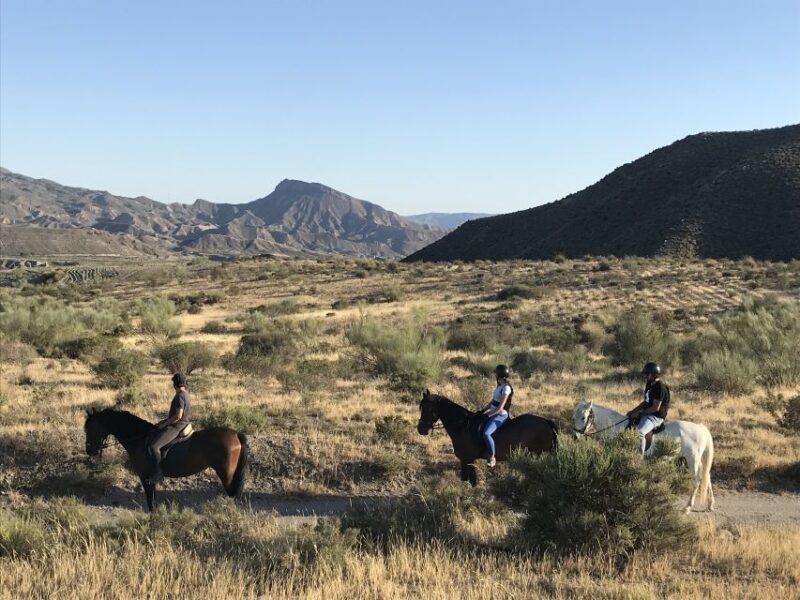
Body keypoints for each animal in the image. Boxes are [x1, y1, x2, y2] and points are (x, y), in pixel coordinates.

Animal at [84, 407, 248, 511]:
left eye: (90, 428)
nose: (89, 450)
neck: (139, 438)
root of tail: (236, 434)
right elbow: (153, 501)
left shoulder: (145, 477)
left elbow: (151, 503)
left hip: (227, 474)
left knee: (233, 494)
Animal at [417, 390, 558, 485]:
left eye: (427, 408)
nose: (420, 429)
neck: (462, 425)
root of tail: (546, 421)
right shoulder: (463, 460)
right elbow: (464, 480)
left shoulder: (468, 459)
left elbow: (472, 482)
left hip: (537, 454)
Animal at [571, 399, 715, 512]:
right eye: (573, 416)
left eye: (583, 417)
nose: (575, 436)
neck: (615, 428)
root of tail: (702, 428)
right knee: (707, 475)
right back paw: (710, 504)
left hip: (692, 460)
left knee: (697, 480)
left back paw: (688, 507)